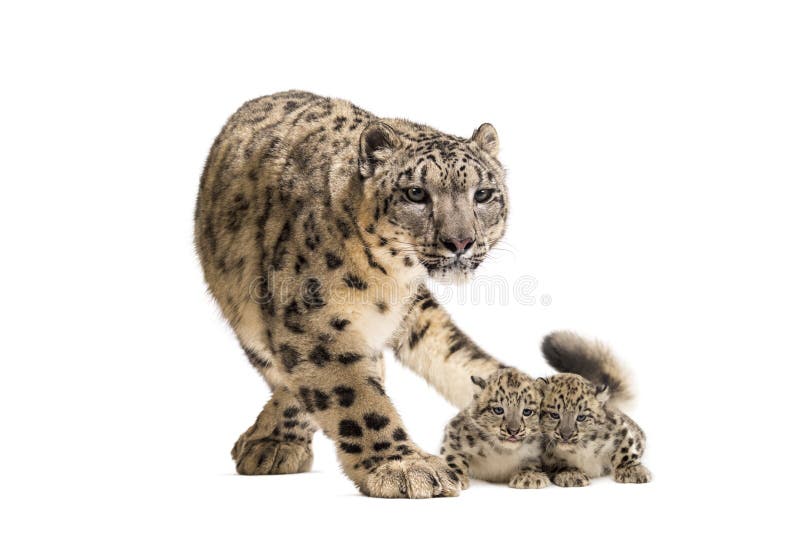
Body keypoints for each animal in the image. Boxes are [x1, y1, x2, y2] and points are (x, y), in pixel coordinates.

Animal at [194, 90, 510, 498]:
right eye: (416, 193)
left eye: (483, 194)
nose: (460, 241)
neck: (390, 279)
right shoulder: (312, 320)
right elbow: (355, 398)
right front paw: (406, 467)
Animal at [537, 331, 652, 486]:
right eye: (554, 415)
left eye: (581, 417)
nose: (566, 435)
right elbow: (555, 463)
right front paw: (571, 474)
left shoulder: (619, 427)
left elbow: (625, 449)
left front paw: (632, 470)